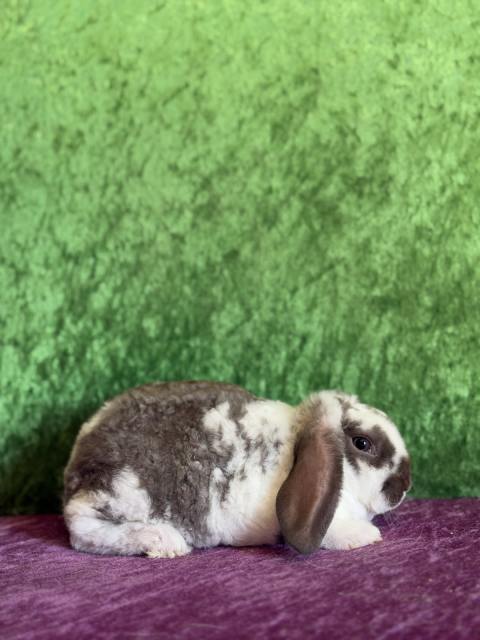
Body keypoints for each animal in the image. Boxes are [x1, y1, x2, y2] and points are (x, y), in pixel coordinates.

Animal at [63, 381, 411, 557]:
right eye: (362, 443)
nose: (405, 484)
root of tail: (78, 457)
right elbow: (336, 532)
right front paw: (366, 536)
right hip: (125, 491)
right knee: (82, 531)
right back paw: (165, 542)